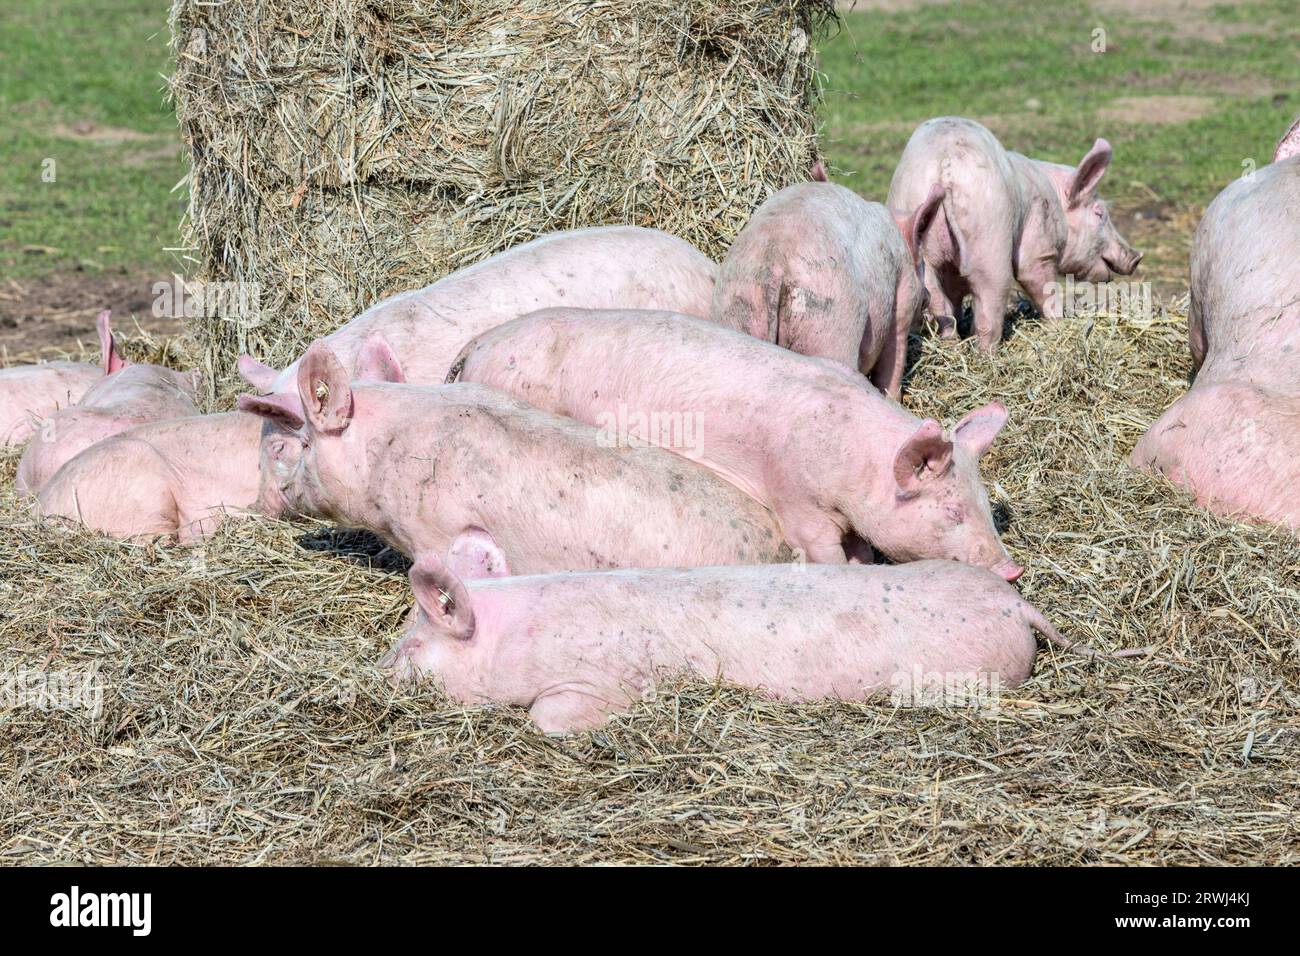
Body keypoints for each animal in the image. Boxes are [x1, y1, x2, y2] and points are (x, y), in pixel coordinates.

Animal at [449, 307, 1022, 579]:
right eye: (951, 511)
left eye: (984, 504)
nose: (1012, 568)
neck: (851, 458)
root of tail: (481, 343)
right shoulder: (797, 501)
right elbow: (825, 551)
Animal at [709, 179, 945, 399]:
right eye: (922, 267)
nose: (927, 297)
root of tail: (775, 265)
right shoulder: (903, 300)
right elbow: (892, 365)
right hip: (830, 326)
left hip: (739, 307)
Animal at [888, 117, 1143, 352]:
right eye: (1099, 213)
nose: (1137, 257)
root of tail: (945, 166)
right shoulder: (1039, 245)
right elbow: (1039, 282)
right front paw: (1057, 328)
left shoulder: (952, 271)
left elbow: (955, 297)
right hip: (989, 235)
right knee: (989, 304)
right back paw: (987, 355)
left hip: (915, 229)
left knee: (940, 302)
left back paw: (952, 347)